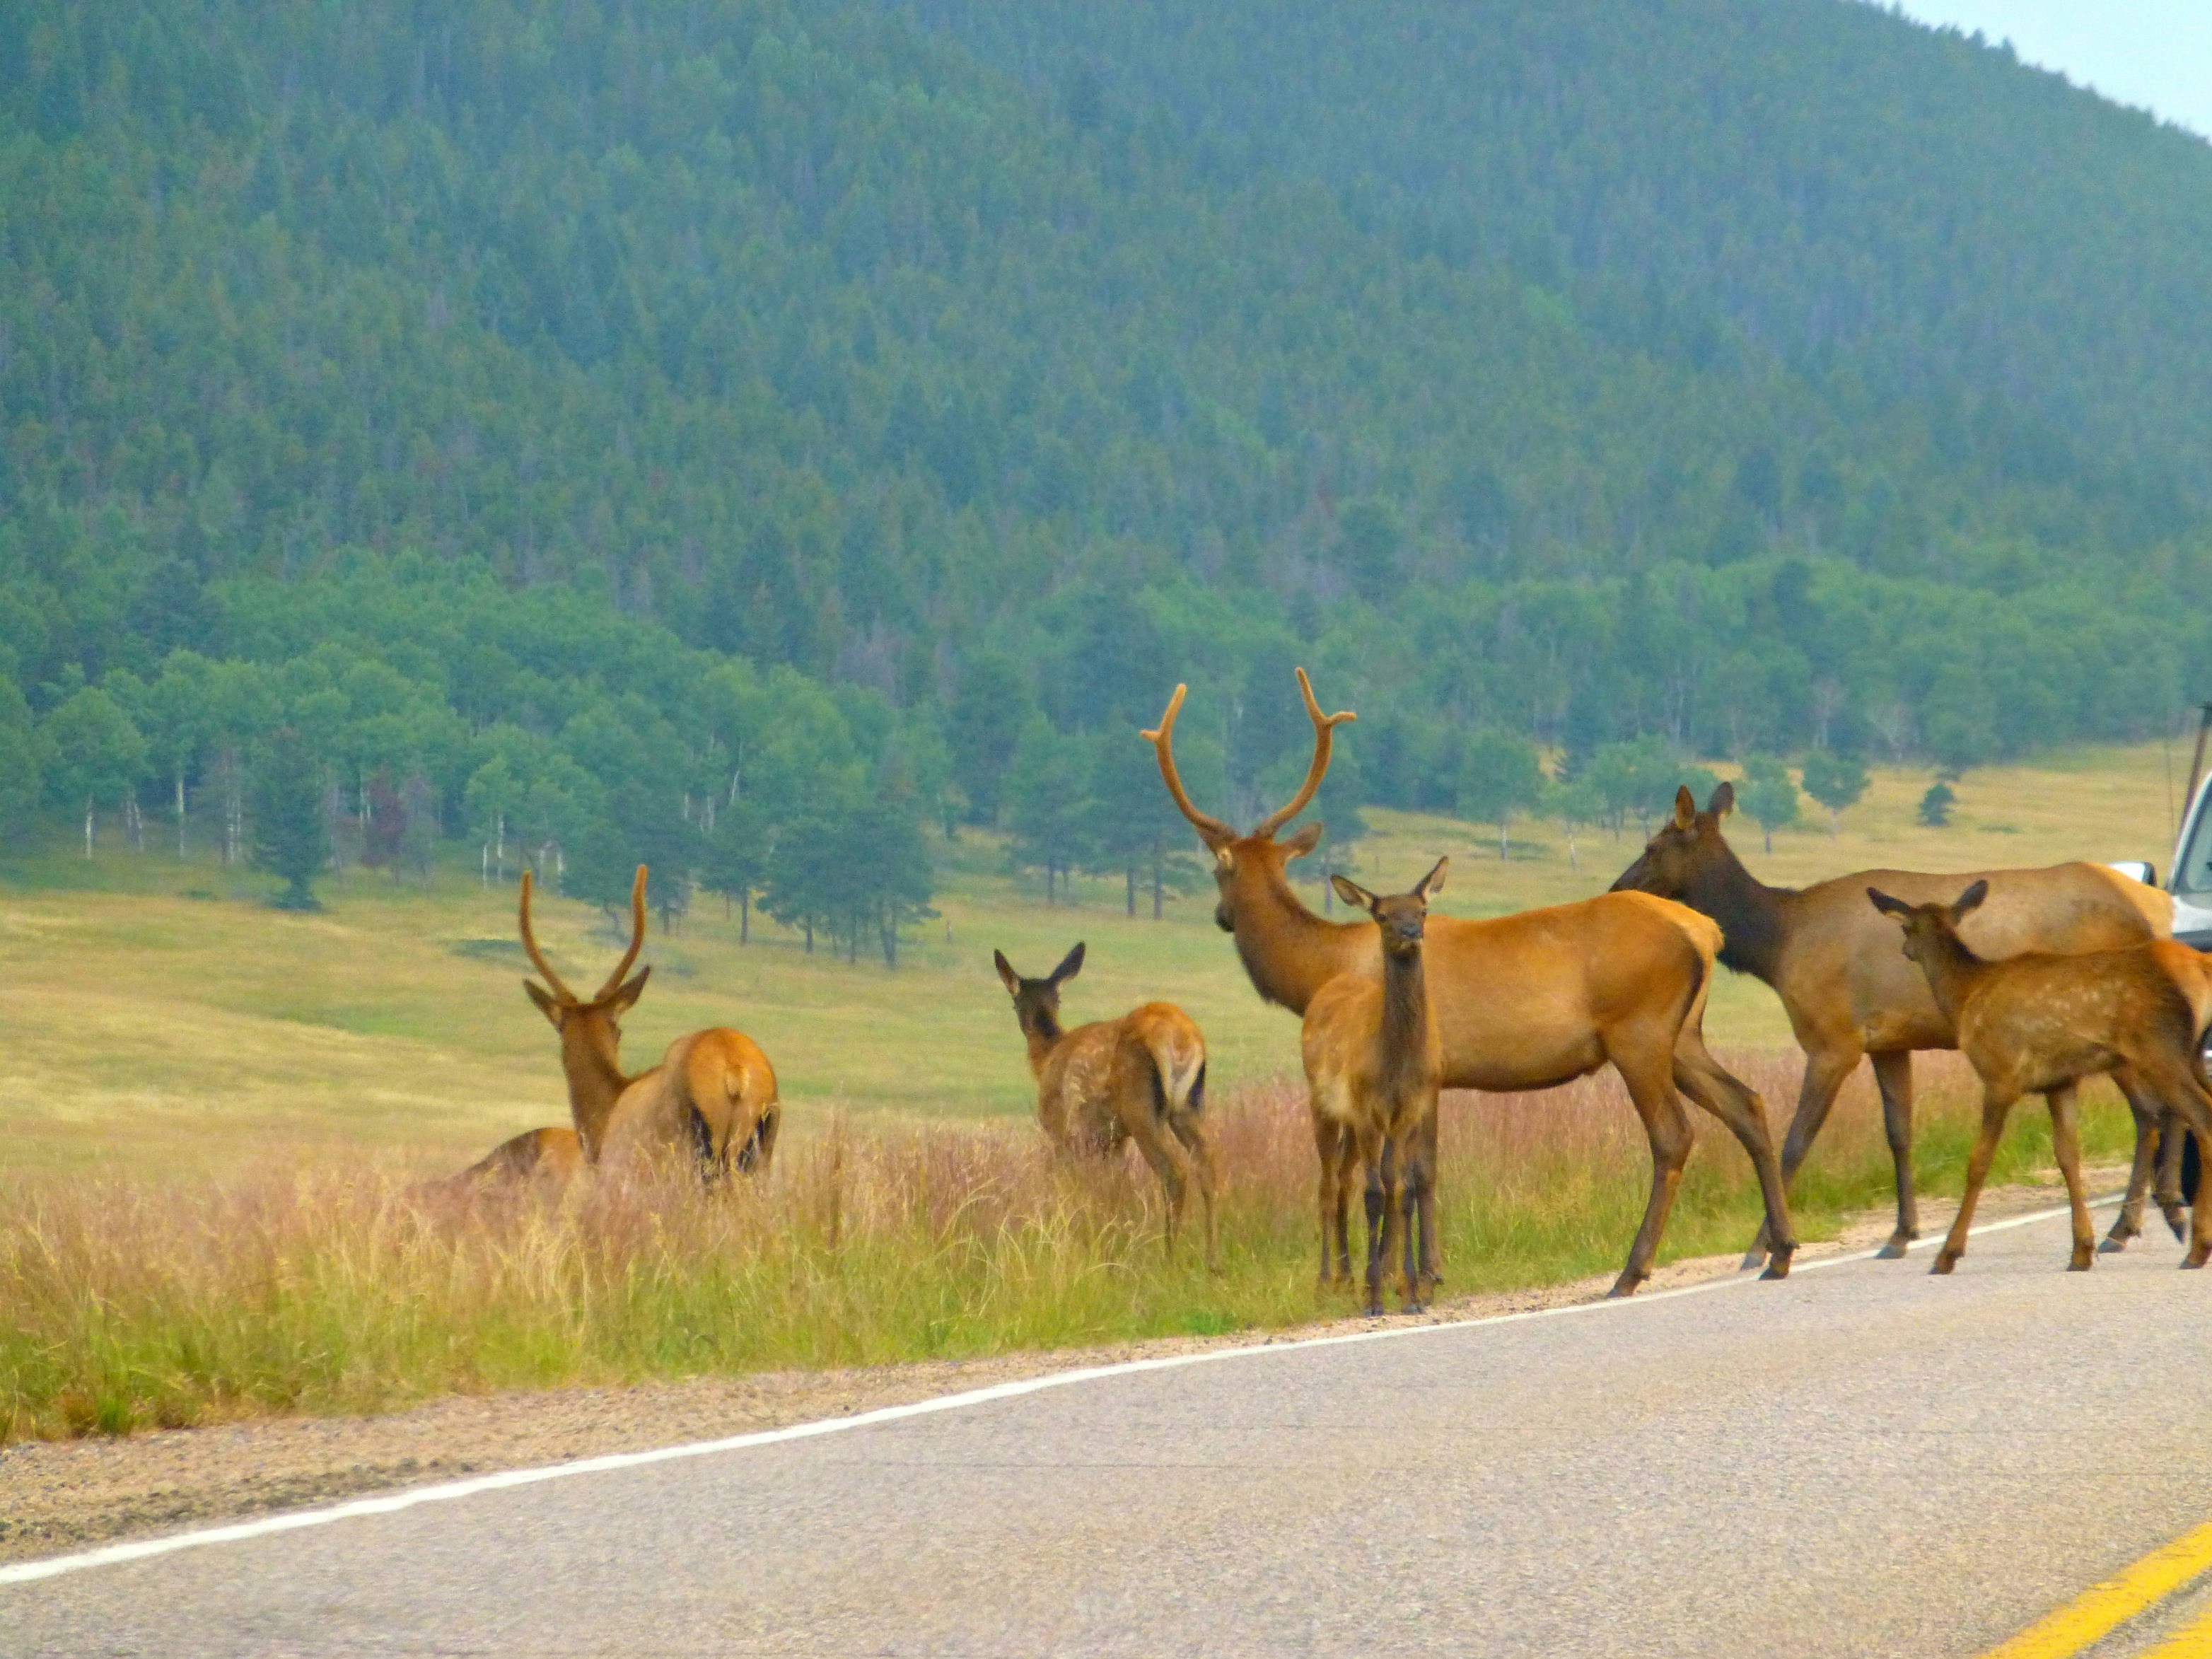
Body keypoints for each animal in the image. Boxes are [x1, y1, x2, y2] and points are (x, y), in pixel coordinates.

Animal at [520, 864, 782, 1180]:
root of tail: (735, 1073)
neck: (602, 1121)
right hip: (760, 1151)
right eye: (617, 1030)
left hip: (685, 1159)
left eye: (559, 1031)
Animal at [993, 944, 1221, 1273]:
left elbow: (1071, 1188)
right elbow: (1114, 1190)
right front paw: (1110, 1242)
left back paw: (1168, 1257)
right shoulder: (1113, 1139)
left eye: (1013, 1004)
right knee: (1209, 1164)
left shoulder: (1064, 1133)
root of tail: (1181, 1039)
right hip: (1189, 1105)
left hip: (1141, 1110)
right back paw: (1213, 1261)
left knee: (1175, 1171)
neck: (1046, 1056)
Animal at [1305, 859, 1449, 1315]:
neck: (1396, 1064)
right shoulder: (1368, 1110)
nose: (1411, 932)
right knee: (1329, 1184)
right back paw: (1326, 1281)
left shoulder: (1407, 1111)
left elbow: (1401, 1190)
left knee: (1345, 1180)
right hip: (1323, 1105)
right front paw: (1374, 1297)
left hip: (1352, 1123)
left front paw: (1411, 1294)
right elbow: (1373, 1194)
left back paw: (1346, 1278)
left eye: (1422, 910)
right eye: (1382, 916)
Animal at [1612, 783, 2179, 1265]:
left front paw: (1763, 1249)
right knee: (2158, 1104)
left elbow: (1797, 1142)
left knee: (2151, 1108)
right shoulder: (1888, 1042)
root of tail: (2148, 920)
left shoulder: (1832, 1040)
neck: (1777, 946)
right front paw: (1901, 1235)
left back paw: (2126, 1227)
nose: (1617, 887)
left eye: (1652, 846)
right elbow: (1899, 1133)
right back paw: (2148, 1217)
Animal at [1867, 881, 2212, 1273]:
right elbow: (2068, 1156)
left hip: (2161, 1051)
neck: (1966, 995)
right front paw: (2081, 1251)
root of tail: (2202, 968)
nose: (1906, 950)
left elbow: (1978, 1161)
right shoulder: (2059, 1082)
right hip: (2192, 1055)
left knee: (2201, 1116)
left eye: (1904, 928)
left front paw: (1948, 1254)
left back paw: (2197, 1248)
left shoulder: (2000, 1075)